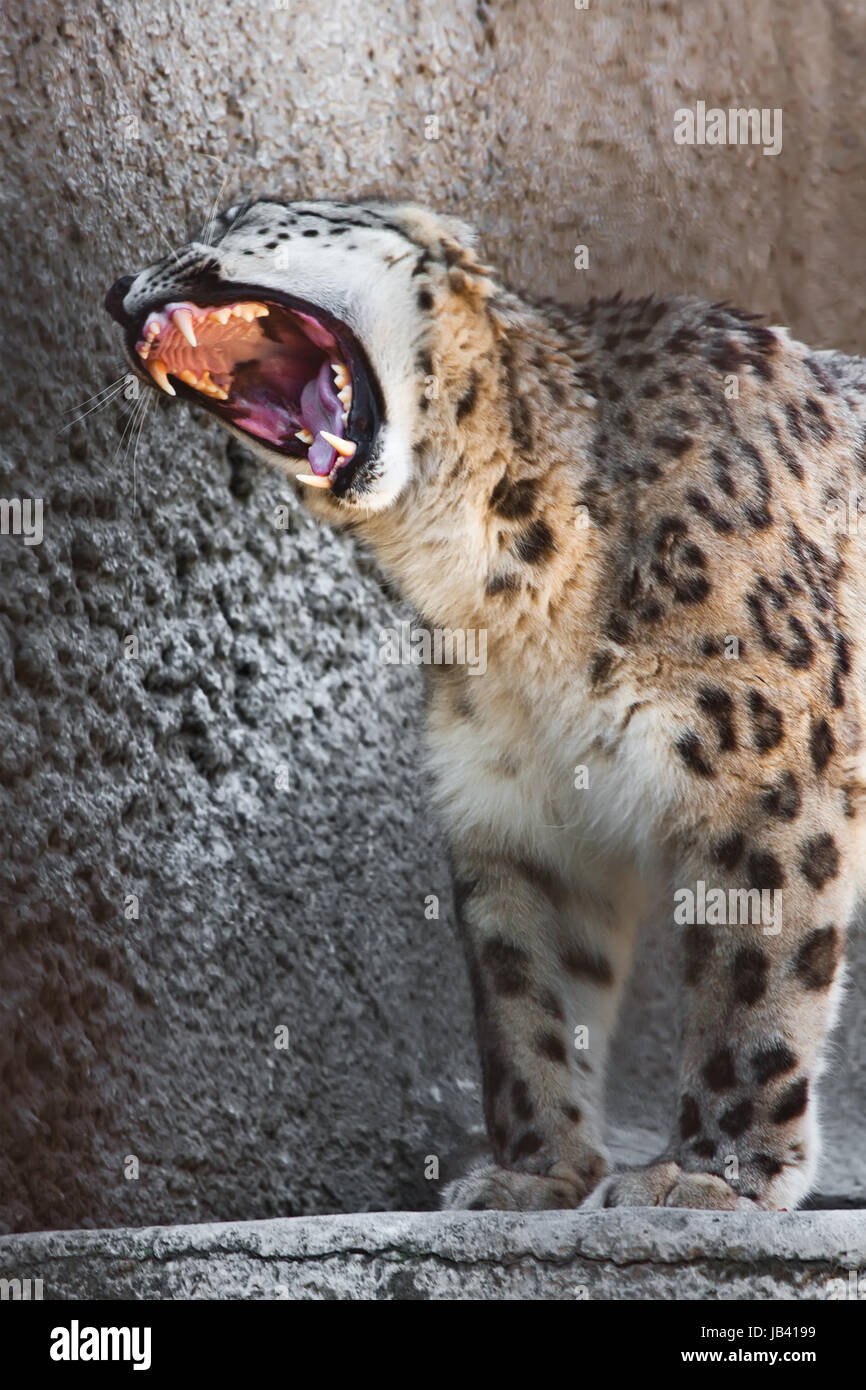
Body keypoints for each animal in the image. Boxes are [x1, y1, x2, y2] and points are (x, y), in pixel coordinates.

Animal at [105, 198, 866, 1212]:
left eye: (239, 215)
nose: (117, 291)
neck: (505, 580)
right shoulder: (515, 806)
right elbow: (528, 996)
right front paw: (534, 1173)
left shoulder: (767, 775)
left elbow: (754, 984)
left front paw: (709, 1176)